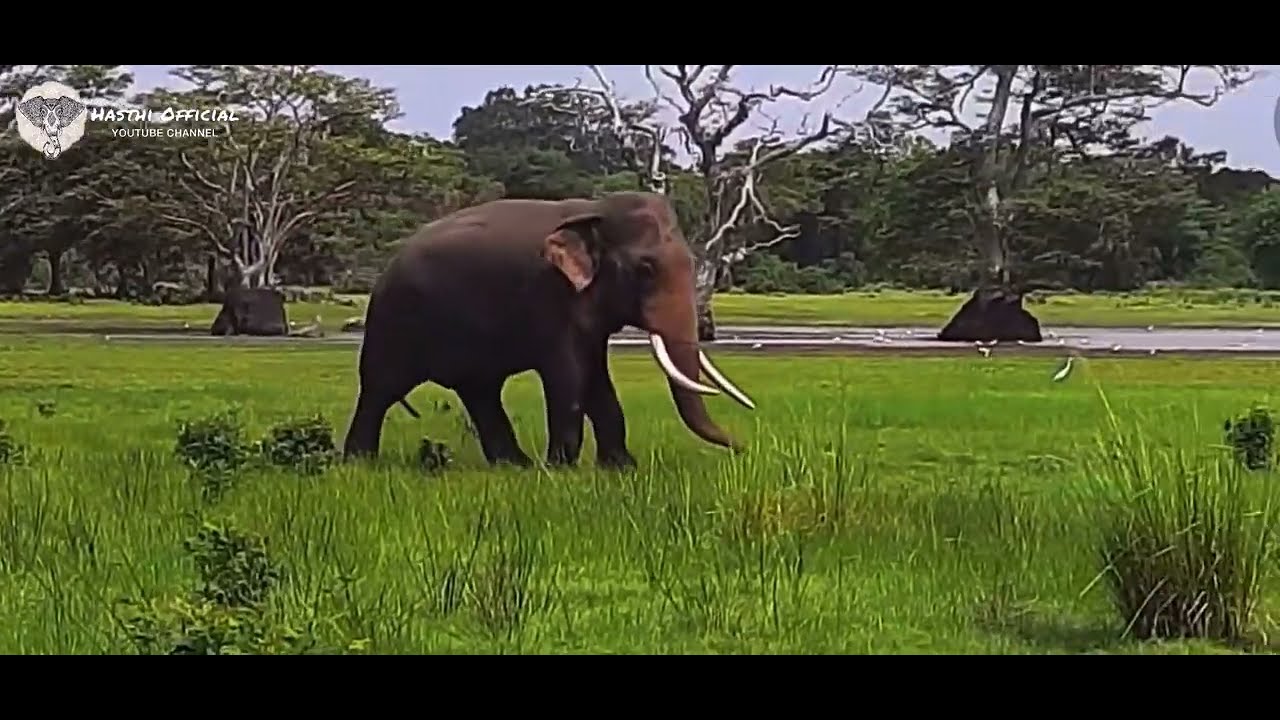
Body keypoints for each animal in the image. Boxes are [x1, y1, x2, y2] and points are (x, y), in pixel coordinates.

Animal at [341, 190, 756, 469]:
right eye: (646, 269)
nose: (744, 447)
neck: (594, 210)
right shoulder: (549, 297)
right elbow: (567, 377)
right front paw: (560, 470)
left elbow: (598, 380)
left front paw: (622, 468)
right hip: (393, 319)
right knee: (381, 387)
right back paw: (359, 464)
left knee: (480, 392)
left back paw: (515, 466)